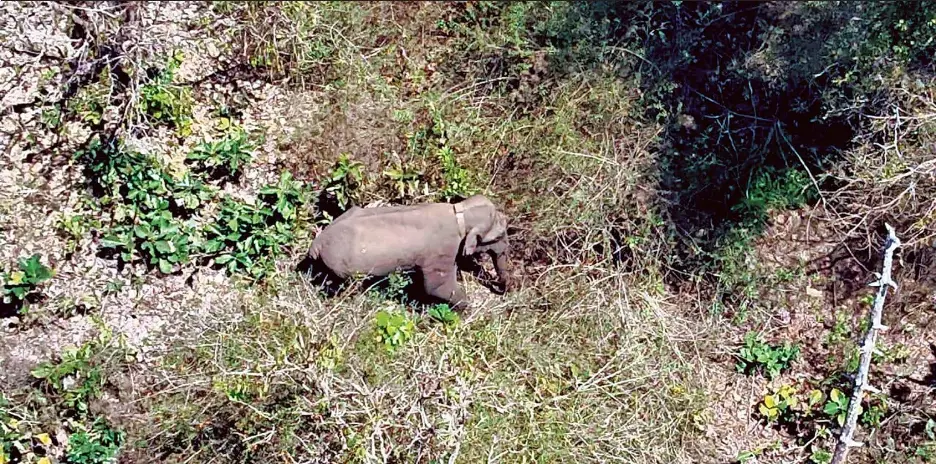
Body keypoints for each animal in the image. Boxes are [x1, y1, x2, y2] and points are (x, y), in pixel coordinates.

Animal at [302, 194, 511, 311]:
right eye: (500, 234)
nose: (500, 287)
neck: (460, 211)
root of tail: (317, 244)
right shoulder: (442, 250)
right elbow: (435, 287)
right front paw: (464, 309)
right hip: (341, 268)